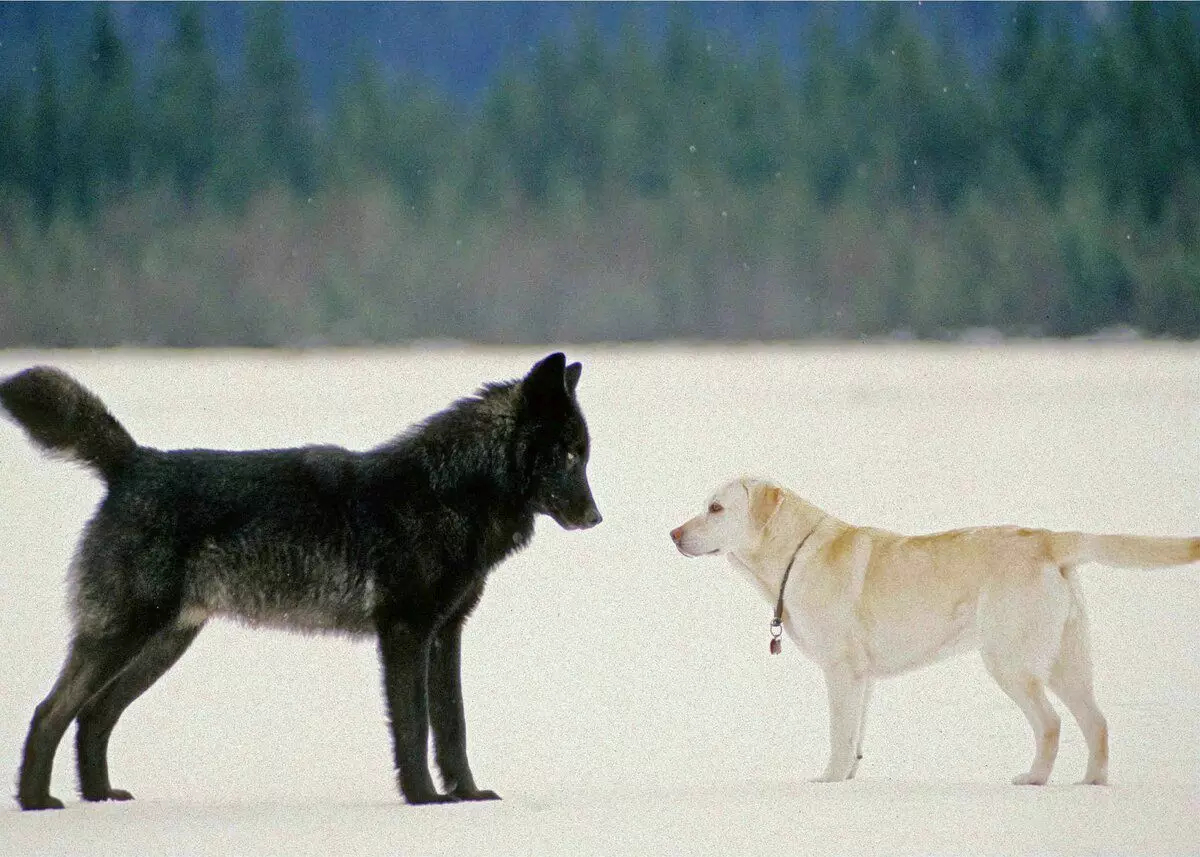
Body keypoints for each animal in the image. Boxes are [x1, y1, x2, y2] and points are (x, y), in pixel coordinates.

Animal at [0, 350, 600, 806]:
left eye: (585, 454)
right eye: (569, 454)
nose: (596, 518)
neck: (447, 492)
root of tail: (133, 461)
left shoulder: (445, 634)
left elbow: (453, 726)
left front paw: (468, 797)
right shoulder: (405, 634)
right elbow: (415, 727)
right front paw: (424, 800)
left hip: (164, 643)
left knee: (94, 715)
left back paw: (100, 798)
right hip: (125, 634)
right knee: (50, 712)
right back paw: (37, 803)